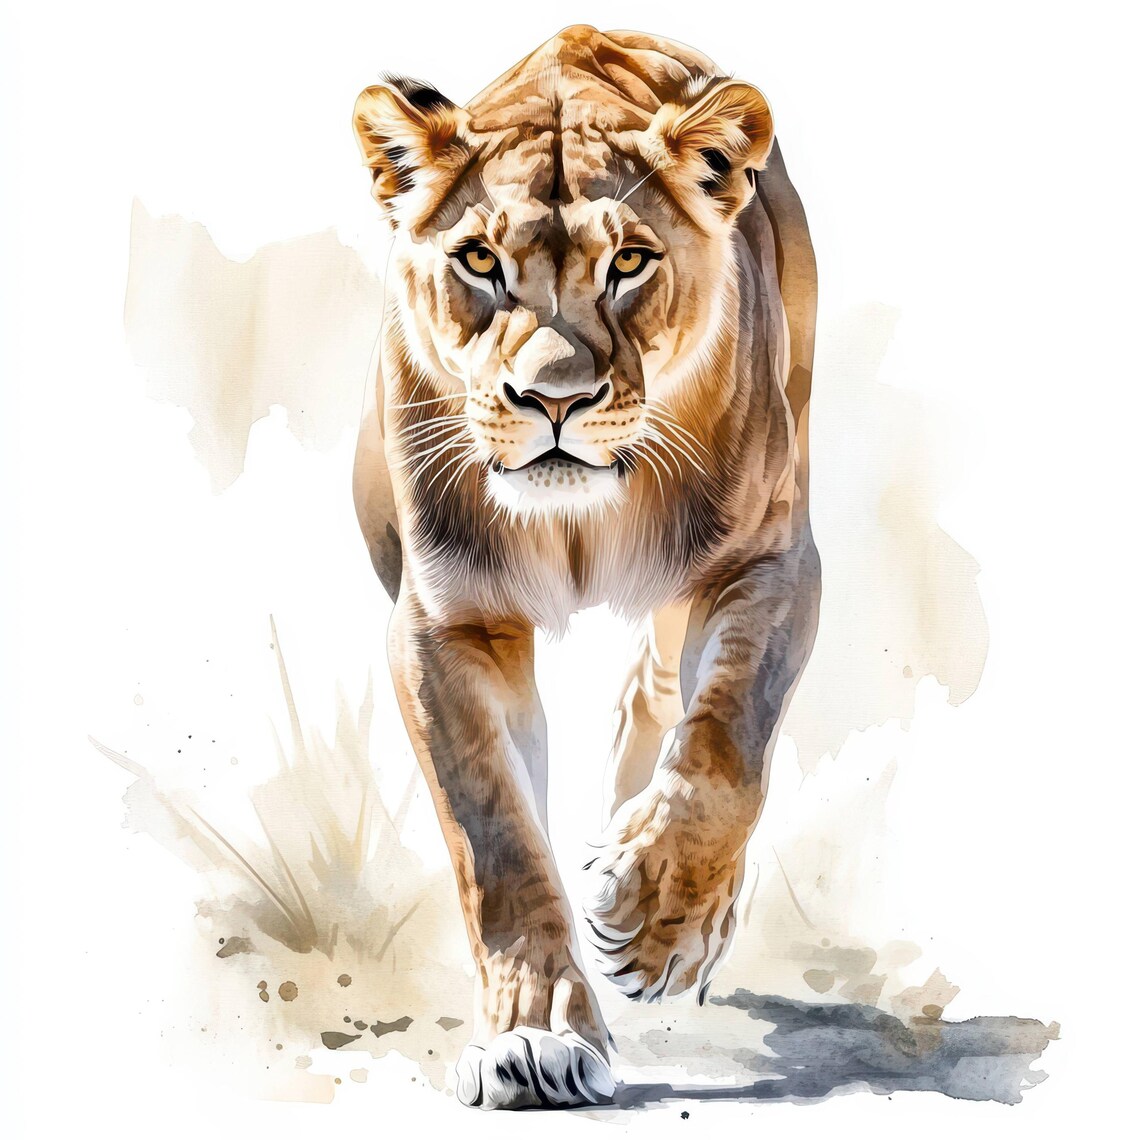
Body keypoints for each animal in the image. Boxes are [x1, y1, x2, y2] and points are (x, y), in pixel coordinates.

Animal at [350, 26, 821, 1109]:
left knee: (671, 693)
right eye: (480, 259)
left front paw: (654, 919)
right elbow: (497, 841)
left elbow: (728, 745)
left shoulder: (771, 562)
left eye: (631, 262)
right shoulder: (449, 624)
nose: (554, 398)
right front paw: (534, 1037)